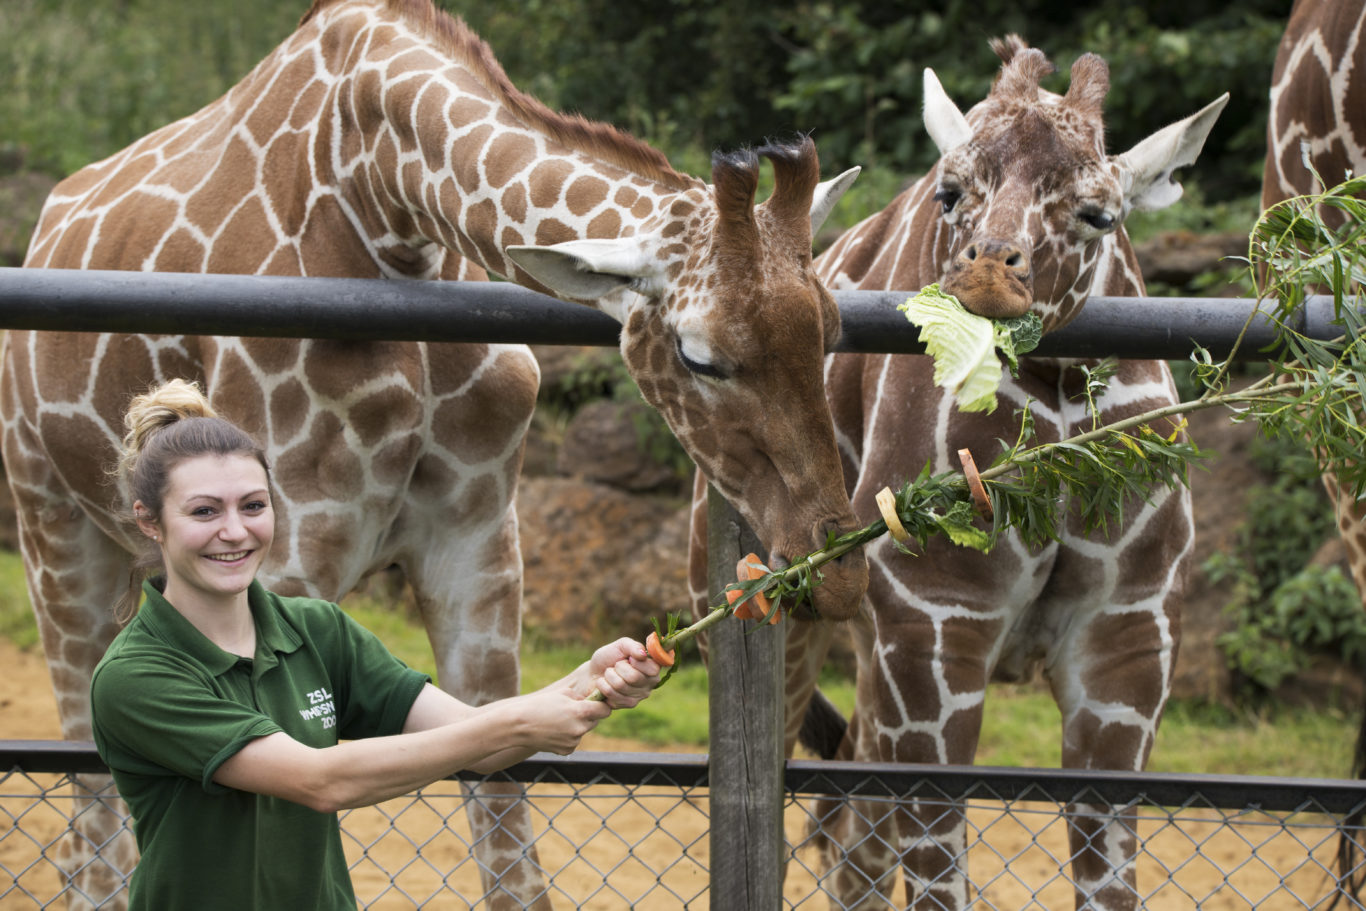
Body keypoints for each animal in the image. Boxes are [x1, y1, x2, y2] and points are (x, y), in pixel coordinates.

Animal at [2, 0, 869, 907]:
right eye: (700, 356)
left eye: (833, 328)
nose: (838, 569)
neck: (383, 204)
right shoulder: (294, 545)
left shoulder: (478, 542)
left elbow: (506, 817)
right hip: (53, 530)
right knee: (95, 805)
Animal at [689, 36, 1226, 908]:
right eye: (950, 192)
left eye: (1100, 212)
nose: (989, 272)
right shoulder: (933, 627)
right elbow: (939, 875)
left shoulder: (1130, 641)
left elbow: (1107, 880)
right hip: (768, 612)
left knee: (851, 835)